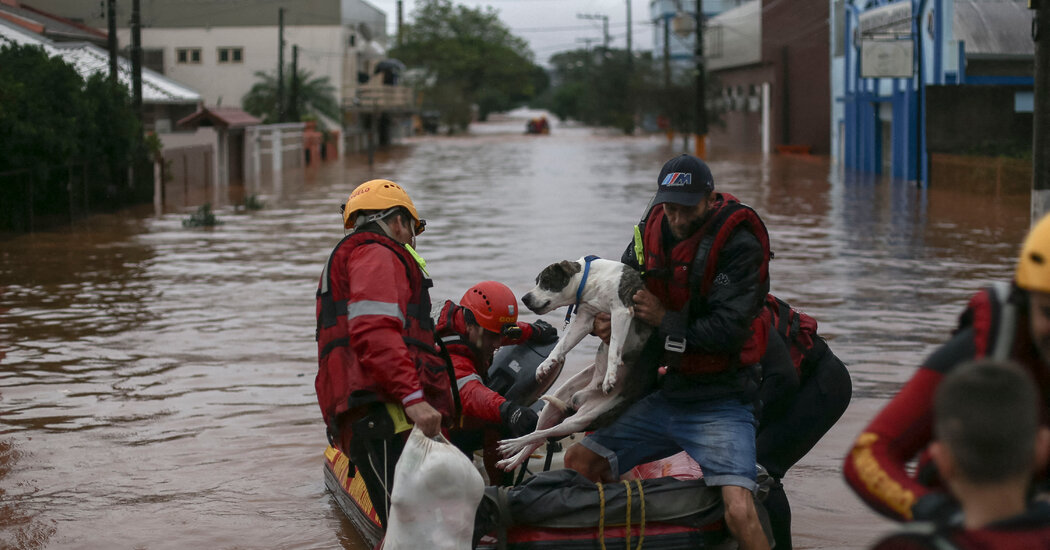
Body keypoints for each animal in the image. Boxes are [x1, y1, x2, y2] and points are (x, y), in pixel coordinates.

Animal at [495, 256, 651, 470]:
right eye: (537, 281)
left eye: (546, 281)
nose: (525, 298)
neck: (592, 281)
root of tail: (581, 398)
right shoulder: (585, 320)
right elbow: (562, 345)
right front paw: (546, 364)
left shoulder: (621, 312)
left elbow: (613, 348)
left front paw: (610, 377)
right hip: (554, 406)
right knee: (536, 436)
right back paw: (512, 458)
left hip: (581, 419)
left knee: (541, 434)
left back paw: (512, 446)